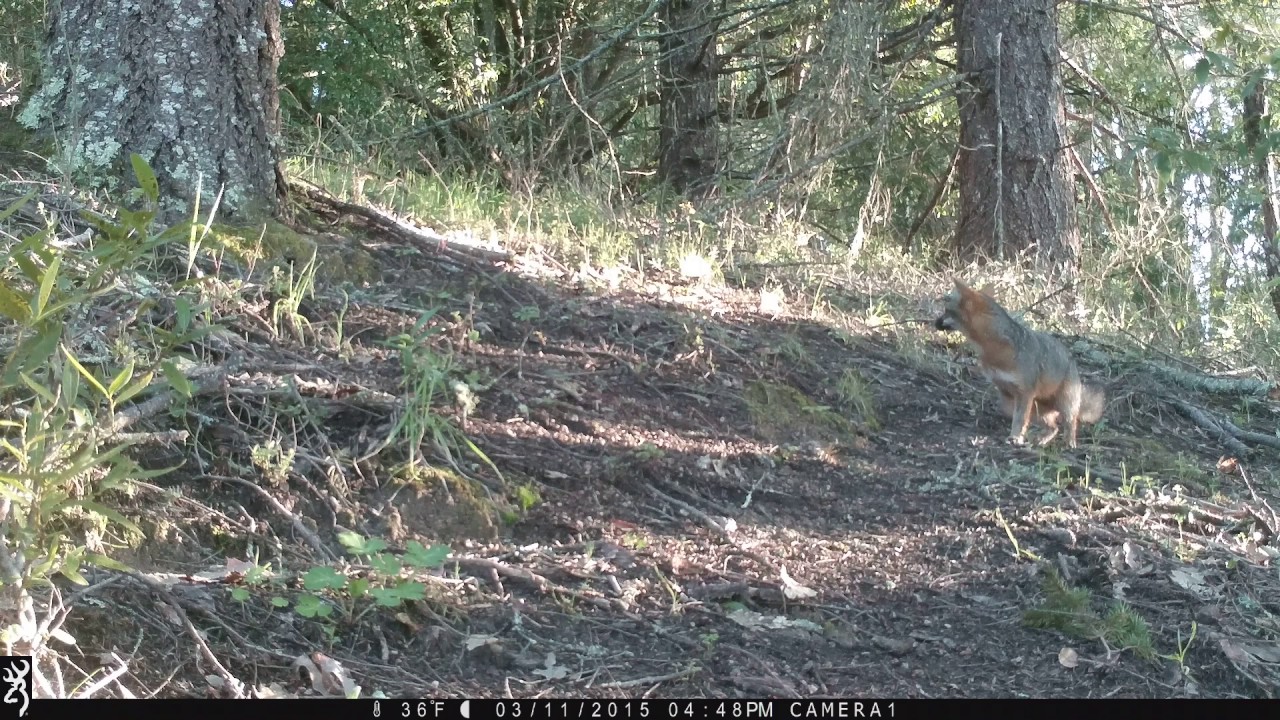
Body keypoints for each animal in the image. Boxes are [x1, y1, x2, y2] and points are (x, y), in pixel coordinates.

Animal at [934, 279, 1104, 449]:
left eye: (947, 310)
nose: (934, 322)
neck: (992, 347)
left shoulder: (1025, 392)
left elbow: (1020, 419)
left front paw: (1015, 438)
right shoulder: (1007, 392)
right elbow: (1019, 418)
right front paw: (1017, 437)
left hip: (1065, 404)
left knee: (1070, 423)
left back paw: (1070, 443)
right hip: (1029, 408)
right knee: (1054, 427)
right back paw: (1042, 440)